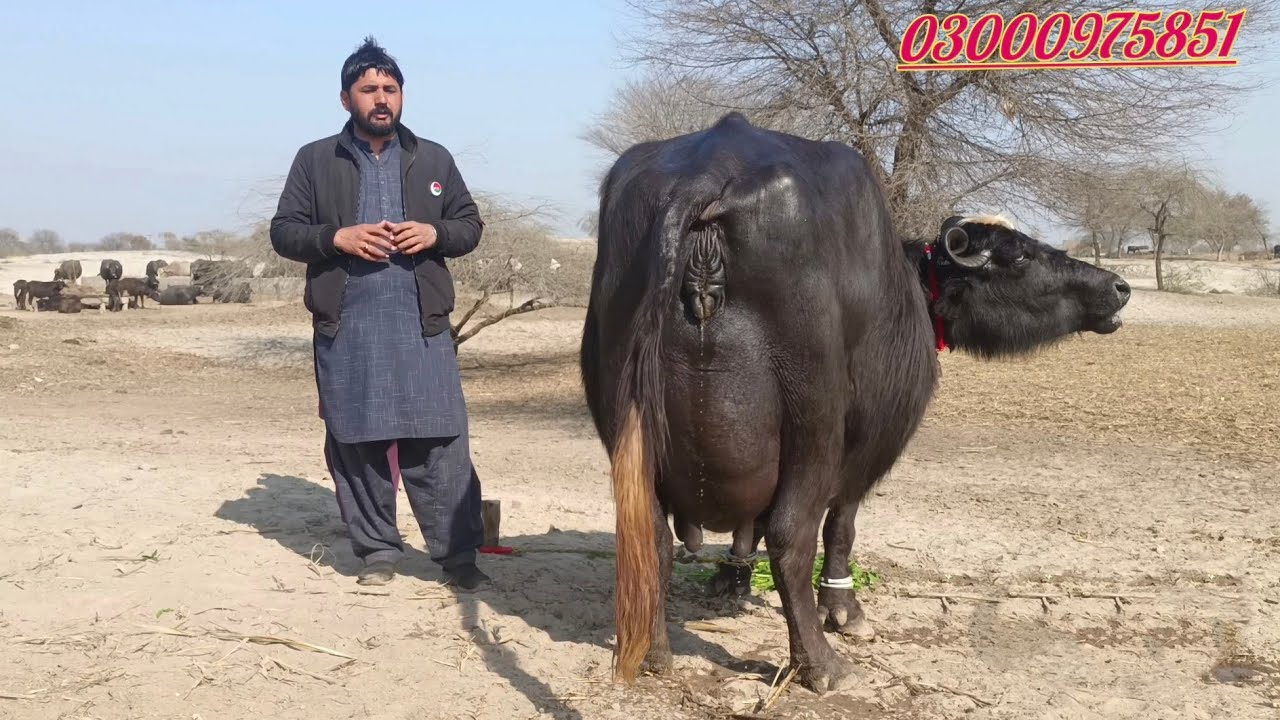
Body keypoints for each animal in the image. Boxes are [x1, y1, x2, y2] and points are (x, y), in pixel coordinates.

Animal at [580, 113, 1131, 694]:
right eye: (1020, 253)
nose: (1118, 287)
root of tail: (704, 179)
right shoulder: (871, 446)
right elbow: (840, 525)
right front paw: (843, 608)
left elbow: (746, 535)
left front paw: (731, 579)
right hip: (813, 424)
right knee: (791, 539)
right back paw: (821, 664)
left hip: (624, 418)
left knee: (652, 543)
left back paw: (654, 653)